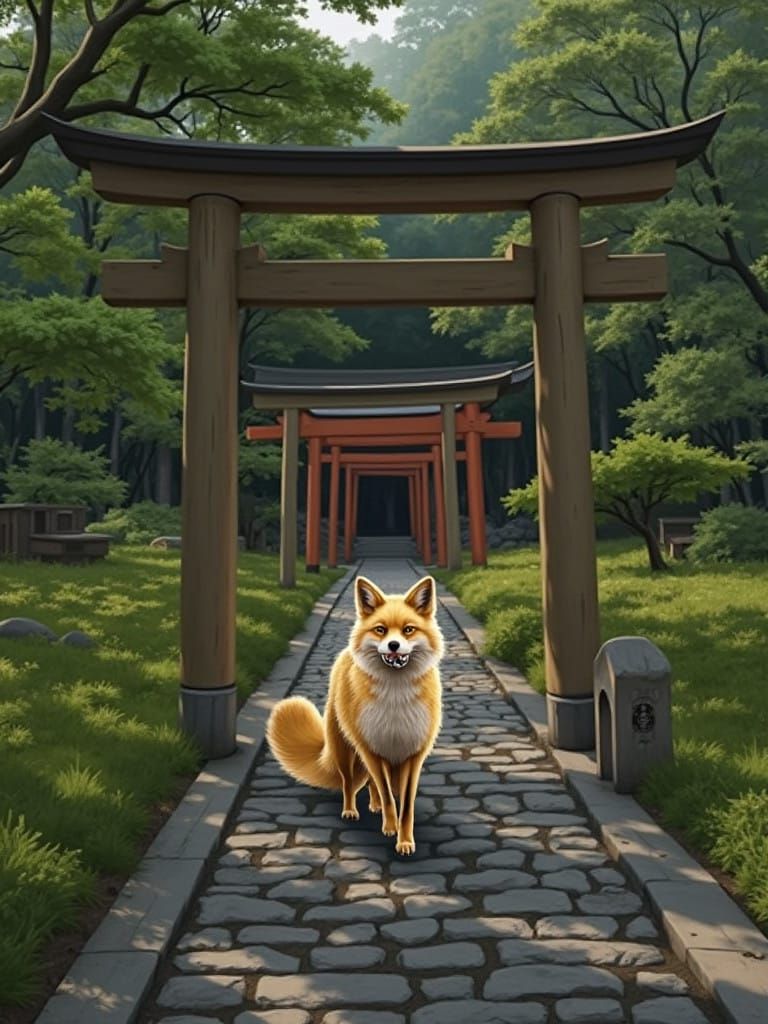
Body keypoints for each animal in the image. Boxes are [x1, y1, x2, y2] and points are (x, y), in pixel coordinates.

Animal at [266, 574, 443, 855]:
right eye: (381, 629)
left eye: (408, 629)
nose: (394, 645)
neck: (395, 699)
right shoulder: (371, 749)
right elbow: (388, 796)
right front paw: (390, 828)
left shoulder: (413, 755)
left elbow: (405, 806)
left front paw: (405, 841)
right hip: (346, 751)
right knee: (349, 783)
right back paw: (351, 810)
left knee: (371, 783)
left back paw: (374, 806)